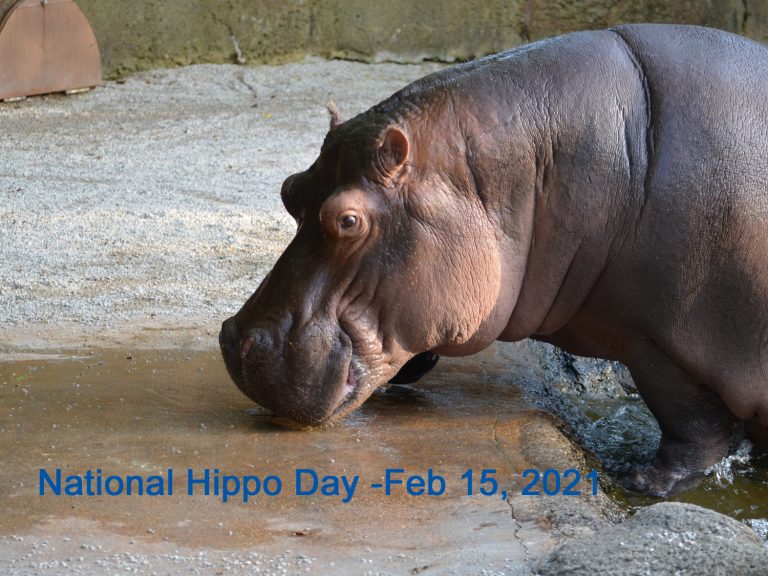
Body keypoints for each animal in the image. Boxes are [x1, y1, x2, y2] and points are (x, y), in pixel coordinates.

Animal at [220, 24, 768, 496]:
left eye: (348, 220)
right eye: (290, 189)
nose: (236, 340)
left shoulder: (657, 344)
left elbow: (692, 425)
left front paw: (642, 482)